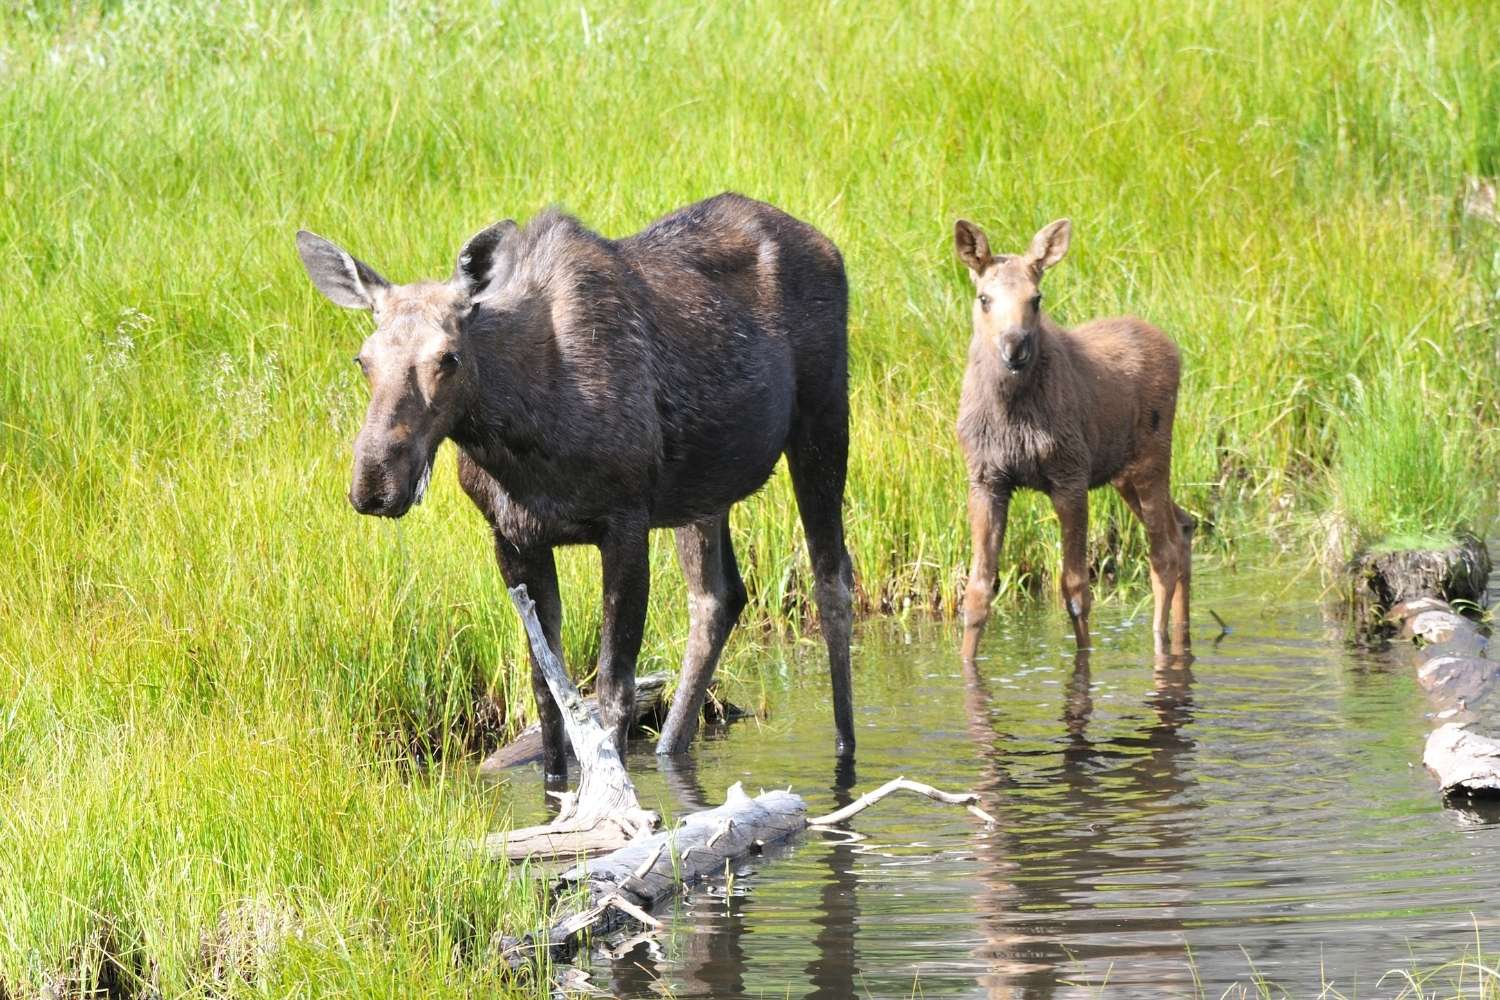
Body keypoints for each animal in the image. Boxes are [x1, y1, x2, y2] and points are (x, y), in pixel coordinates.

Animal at [296, 193, 856, 782]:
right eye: (363, 359)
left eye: (448, 357)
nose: (375, 482)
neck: (519, 429)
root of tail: (828, 246)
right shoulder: (514, 537)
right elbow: (547, 690)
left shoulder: (625, 522)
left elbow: (613, 689)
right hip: (703, 490)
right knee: (717, 597)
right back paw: (671, 747)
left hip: (822, 420)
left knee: (831, 580)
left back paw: (845, 752)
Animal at [952, 217, 1193, 659]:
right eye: (984, 298)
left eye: (1036, 298)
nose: (1015, 347)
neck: (1011, 412)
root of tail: (1173, 349)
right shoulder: (986, 479)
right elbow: (977, 593)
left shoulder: (1070, 477)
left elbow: (1076, 590)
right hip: (1123, 474)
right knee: (1184, 526)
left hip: (1152, 459)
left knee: (1163, 552)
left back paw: (1161, 643)